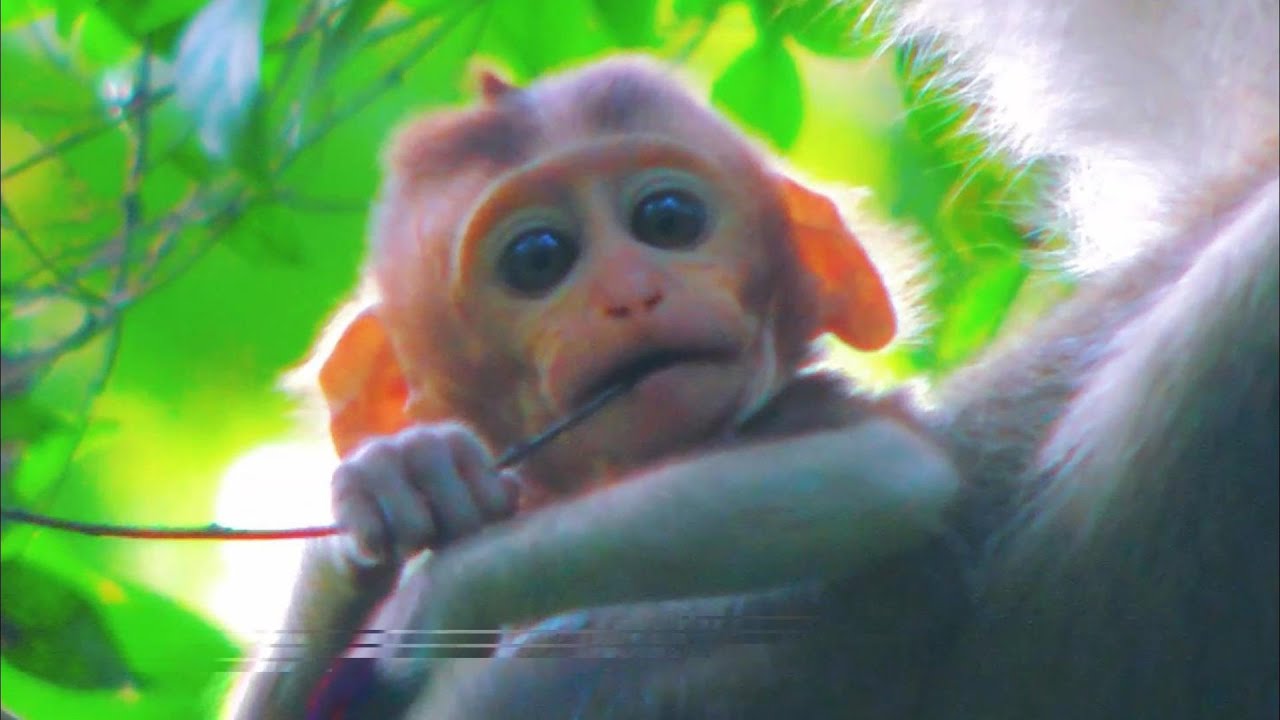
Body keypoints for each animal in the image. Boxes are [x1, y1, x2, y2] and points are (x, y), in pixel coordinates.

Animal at [228, 56, 963, 720]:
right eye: (538, 258)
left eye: (668, 218)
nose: (632, 293)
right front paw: (393, 480)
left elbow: (875, 471)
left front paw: (433, 595)